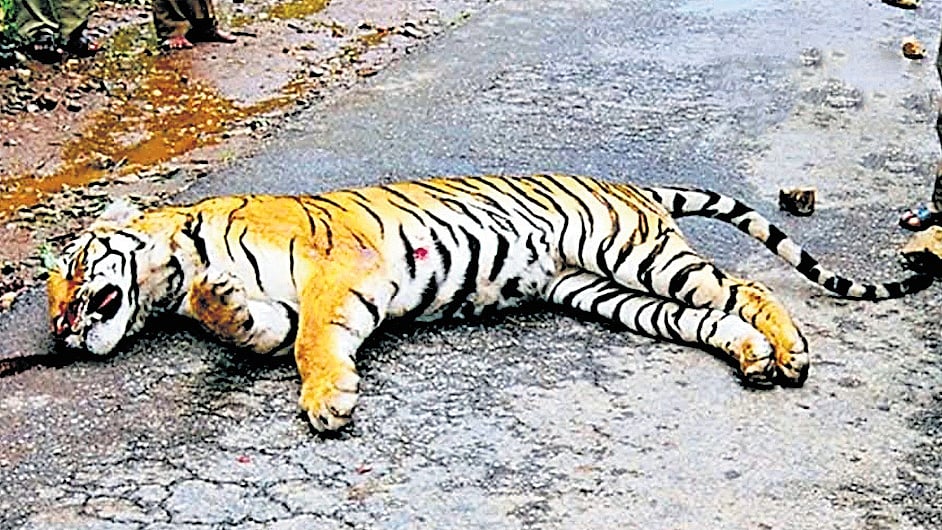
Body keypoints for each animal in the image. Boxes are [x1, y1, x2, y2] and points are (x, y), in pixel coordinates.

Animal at [46, 174, 931, 431]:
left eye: (75, 268)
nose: (58, 333)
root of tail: (636, 187)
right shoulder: (276, 308)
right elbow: (254, 327)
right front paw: (220, 298)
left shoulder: (335, 274)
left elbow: (311, 345)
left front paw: (330, 401)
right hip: (608, 293)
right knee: (711, 318)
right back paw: (754, 358)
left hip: (636, 255)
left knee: (745, 286)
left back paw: (791, 351)